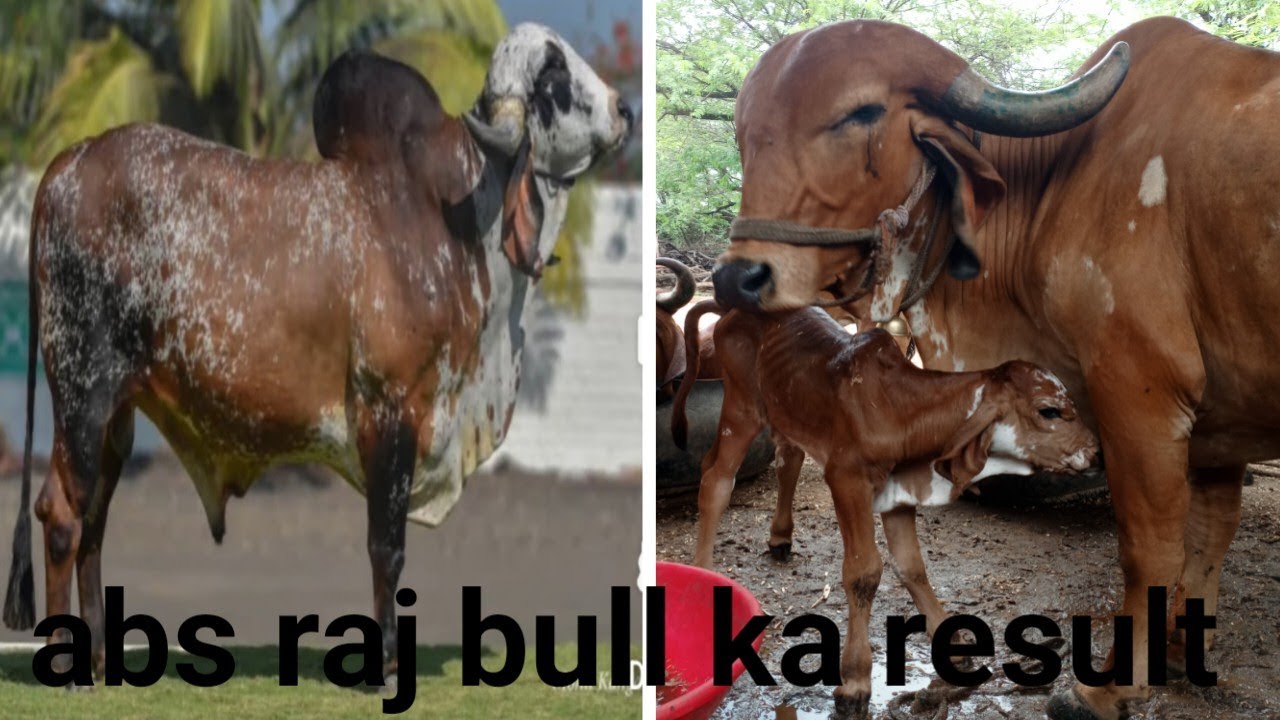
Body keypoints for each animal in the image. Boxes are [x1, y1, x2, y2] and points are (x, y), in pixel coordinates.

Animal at [2, 23, 632, 690]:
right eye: (554, 75)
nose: (626, 110)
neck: (453, 215)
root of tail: (69, 162)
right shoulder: (392, 410)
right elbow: (387, 547)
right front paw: (384, 667)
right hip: (82, 393)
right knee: (62, 514)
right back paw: (69, 667)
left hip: (115, 415)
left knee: (93, 521)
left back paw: (100, 661)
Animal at [671, 300, 1098, 715]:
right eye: (1048, 410)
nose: (1094, 450)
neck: (897, 406)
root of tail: (732, 310)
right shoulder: (846, 479)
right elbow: (863, 572)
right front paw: (855, 680)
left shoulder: (898, 492)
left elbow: (911, 566)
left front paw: (952, 640)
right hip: (741, 407)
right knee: (716, 478)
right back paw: (705, 571)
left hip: (783, 411)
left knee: (787, 457)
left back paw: (780, 537)